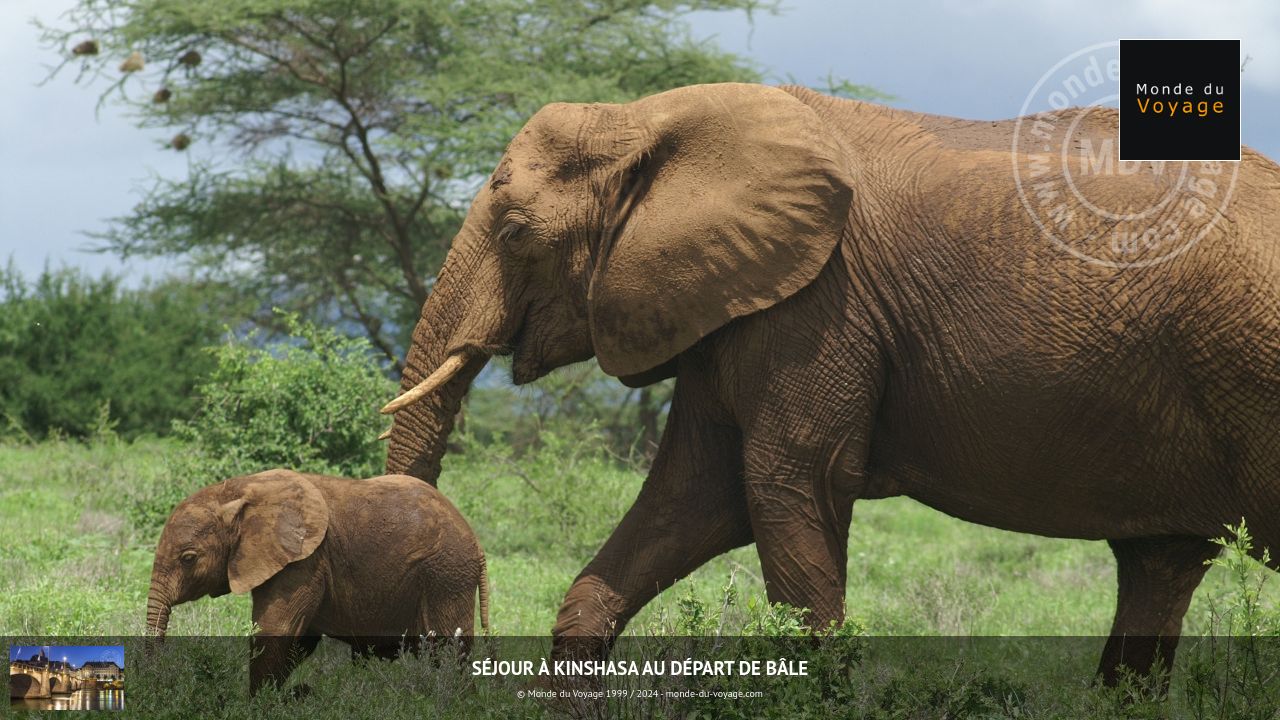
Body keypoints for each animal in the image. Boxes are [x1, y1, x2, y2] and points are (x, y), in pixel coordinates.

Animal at [145, 468, 488, 691]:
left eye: (188, 558)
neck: (238, 490)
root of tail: (477, 544)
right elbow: (299, 642)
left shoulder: (304, 561)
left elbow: (276, 630)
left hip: (446, 576)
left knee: (447, 650)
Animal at [378, 82, 1280, 676]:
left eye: (516, 233)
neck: (646, 118)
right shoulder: (737, 304)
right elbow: (698, 498)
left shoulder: (818, 307)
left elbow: (787, 487)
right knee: (1158, 569)